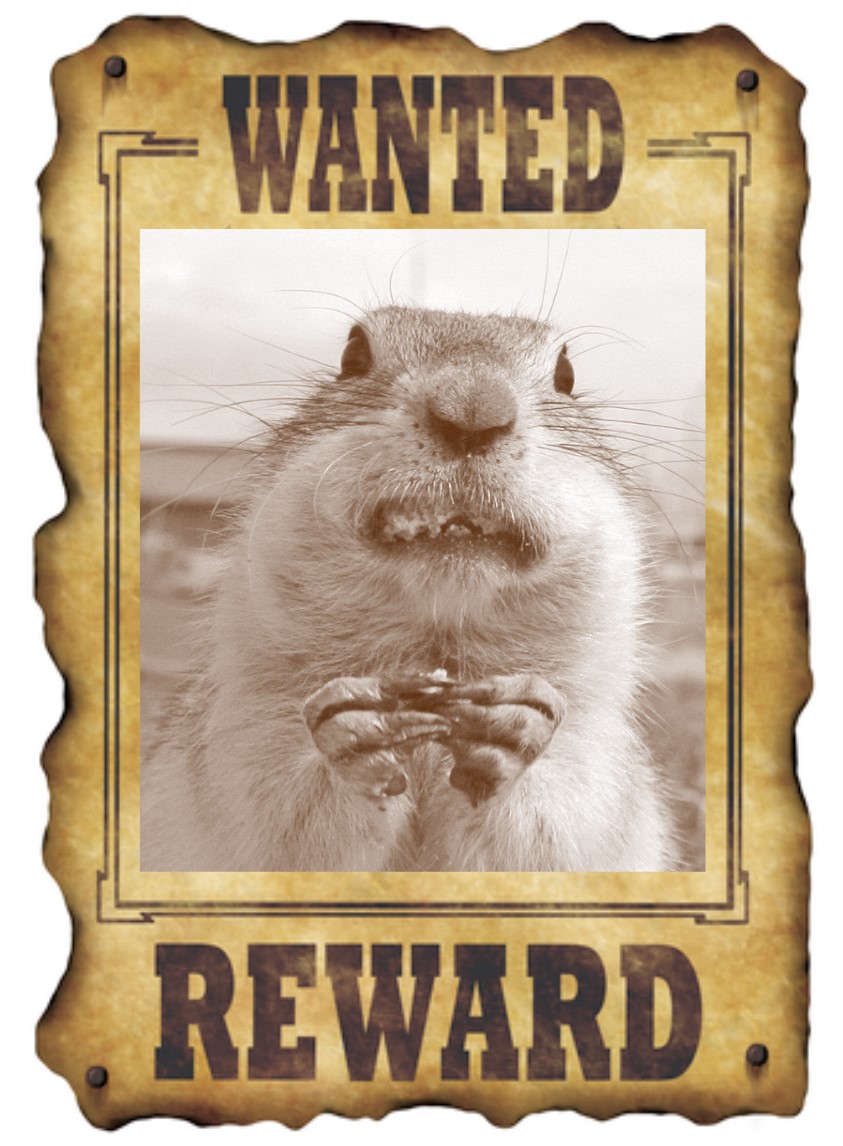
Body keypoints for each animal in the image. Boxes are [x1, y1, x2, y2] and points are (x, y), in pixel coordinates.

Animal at [141, 305, 674, 872]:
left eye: (566, 375)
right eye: (352, 355)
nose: (473, 408)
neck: (434, 645)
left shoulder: (599, 761)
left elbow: (548, 834)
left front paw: (514, 728)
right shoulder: (239, 736)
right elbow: (285, 821)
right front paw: (351, 734)